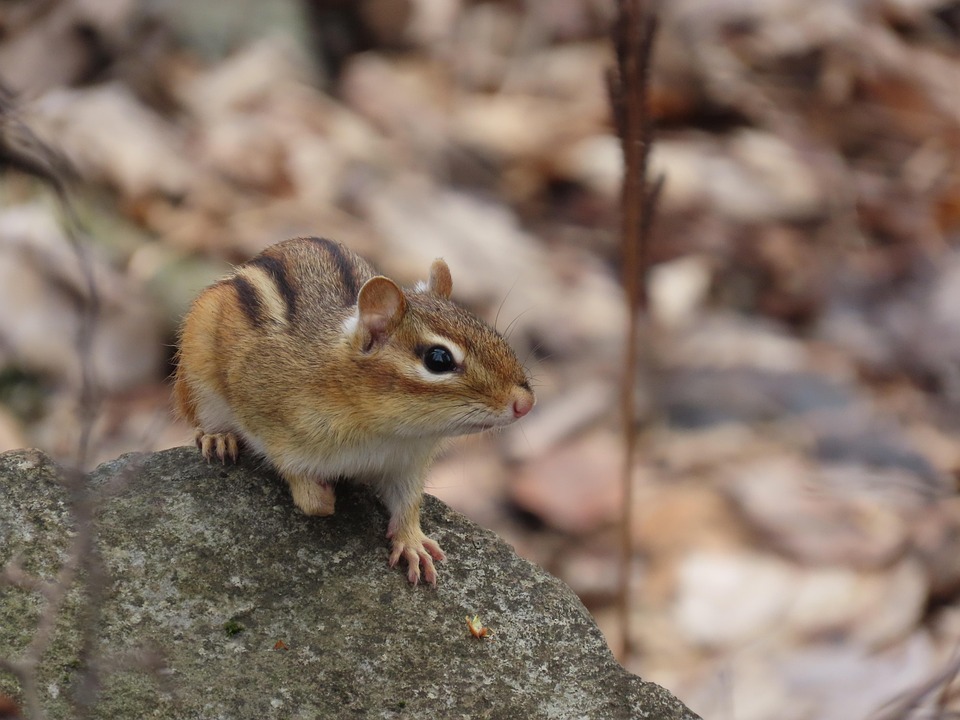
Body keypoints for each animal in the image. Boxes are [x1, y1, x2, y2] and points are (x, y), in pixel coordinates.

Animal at [173, 237, 535, 585]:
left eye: (490, 331)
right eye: (438, 359)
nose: (526, 403)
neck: (386, 432)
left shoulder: (407, 464)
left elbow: (408, 504)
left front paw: (411, 542)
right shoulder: (269, 424)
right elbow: (307, 495)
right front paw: (326, 496)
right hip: (196, 372)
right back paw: (218, 437)